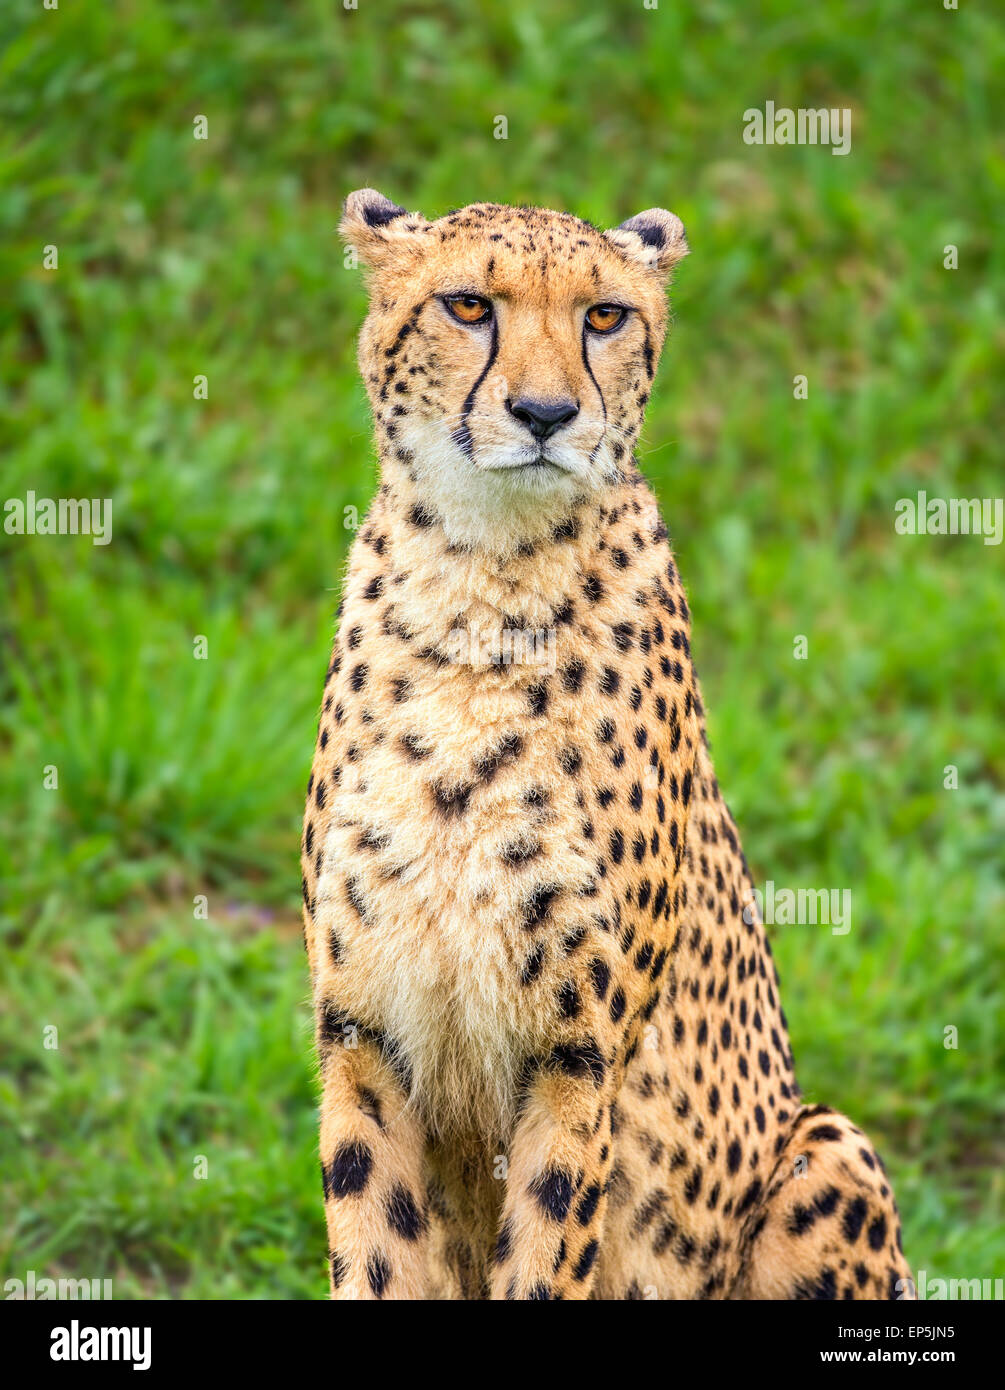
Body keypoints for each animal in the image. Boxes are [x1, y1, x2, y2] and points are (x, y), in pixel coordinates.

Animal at [300, 187, 911, 1301]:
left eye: (604, 317)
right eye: (467, 305)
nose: (546, 416)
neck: (482, 586)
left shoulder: (579, 1059)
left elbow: (549, 1253)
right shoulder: (364, 1040)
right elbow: (376, 1247)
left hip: (825, 1145)